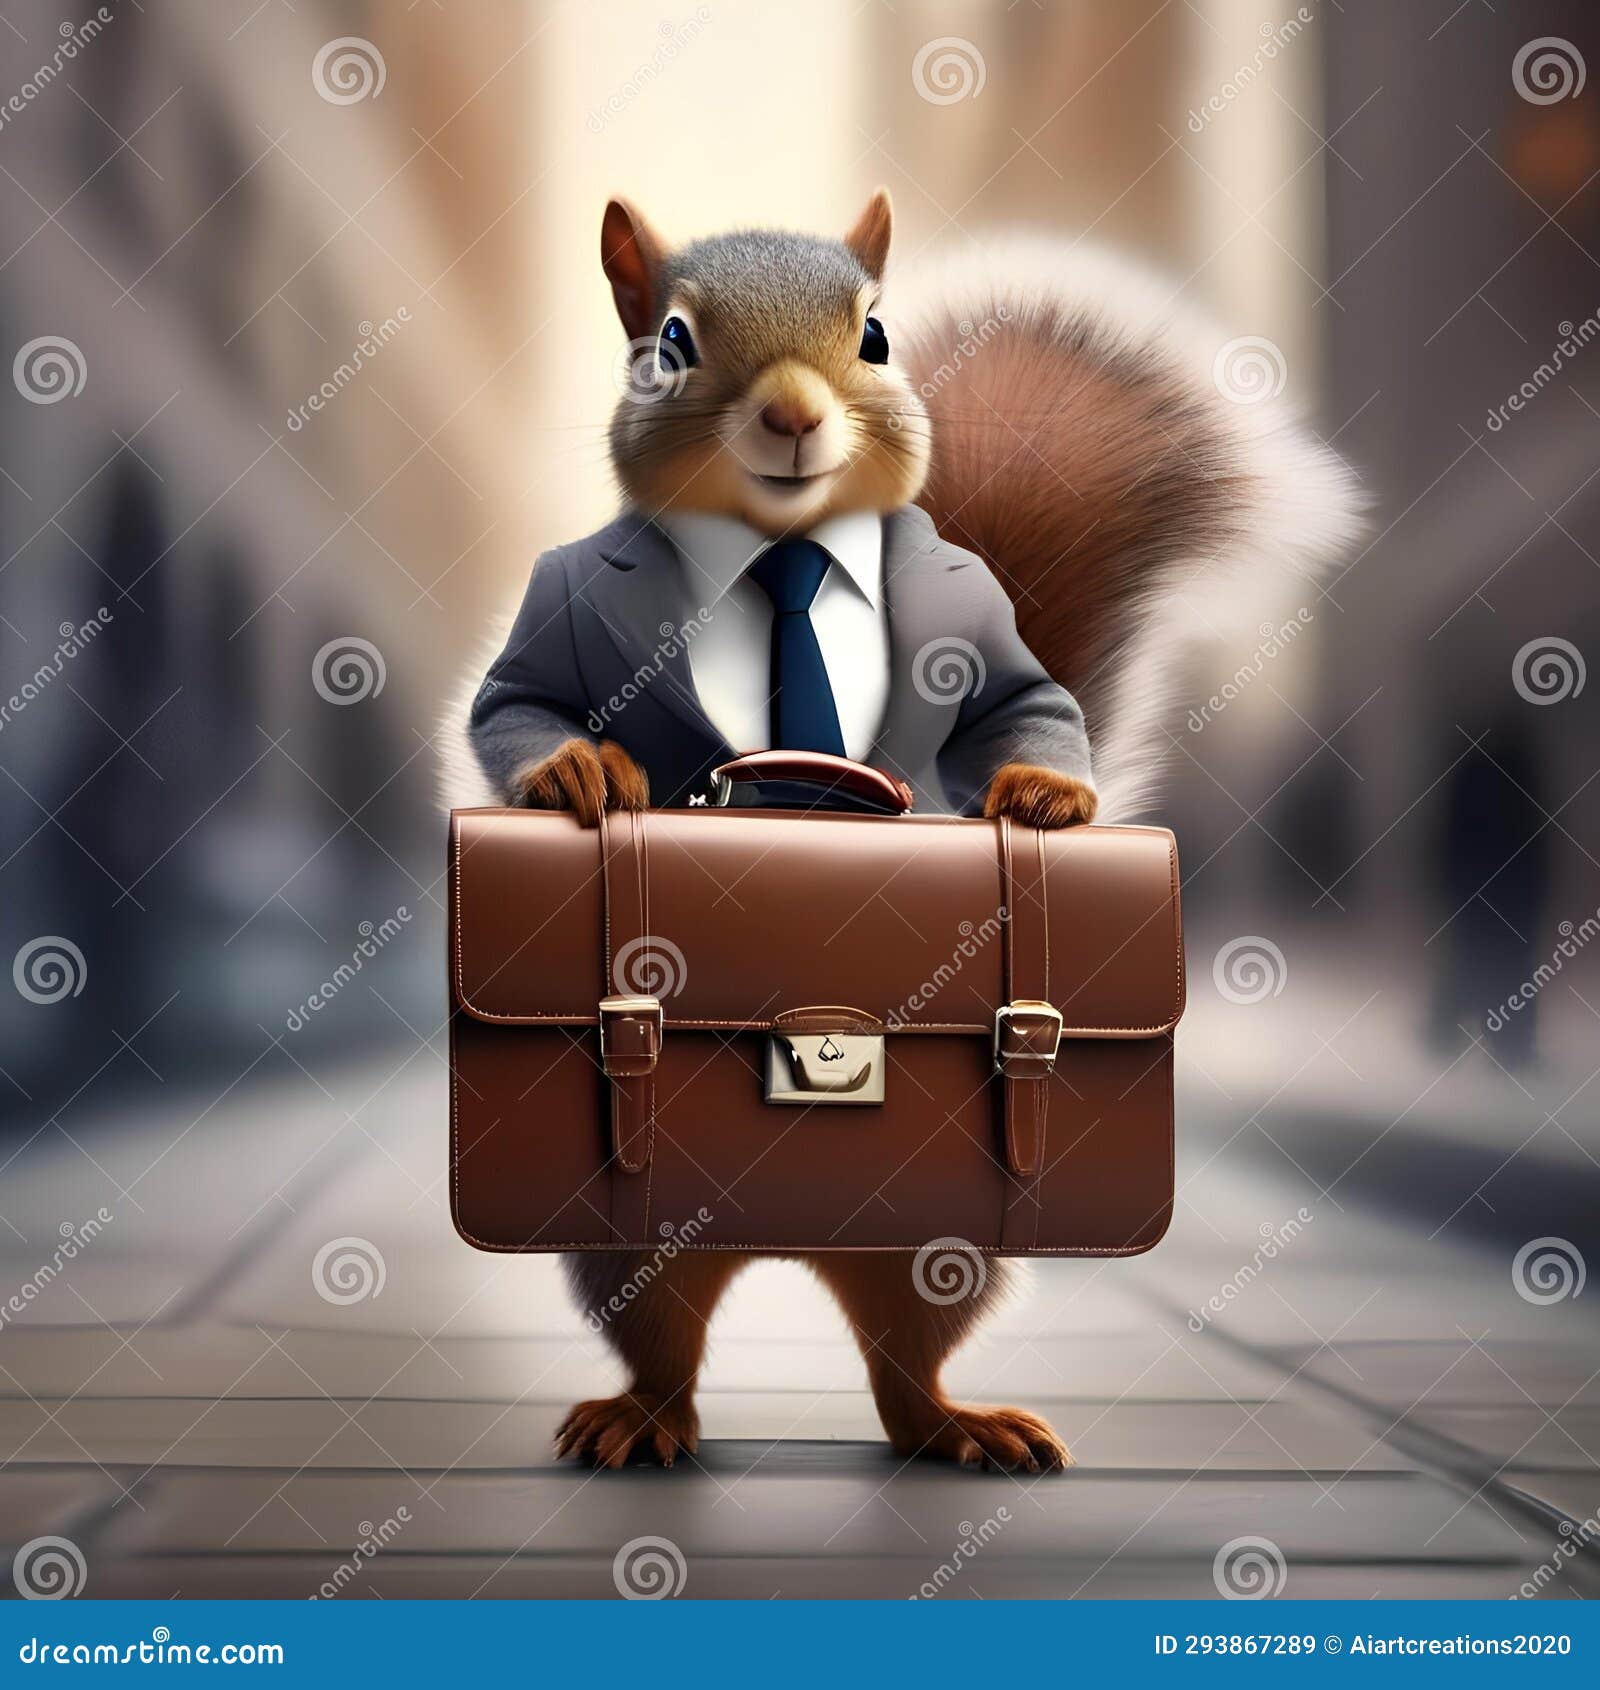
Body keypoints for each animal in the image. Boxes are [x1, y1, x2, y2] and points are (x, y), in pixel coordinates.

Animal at [446, 192, 1362, 1471]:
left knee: (905, 1361)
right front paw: (581, 764)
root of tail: (788, 1245)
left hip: (944, 1252)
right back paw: (641, 1419)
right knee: (663, 1336)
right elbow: (512, 703)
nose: (791, 417)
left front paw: (1041, 797)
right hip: (628, 1249)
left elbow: (1027, 701)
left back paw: (964, 1428)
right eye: (671, 342)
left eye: (873, 338)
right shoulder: (555, 607)